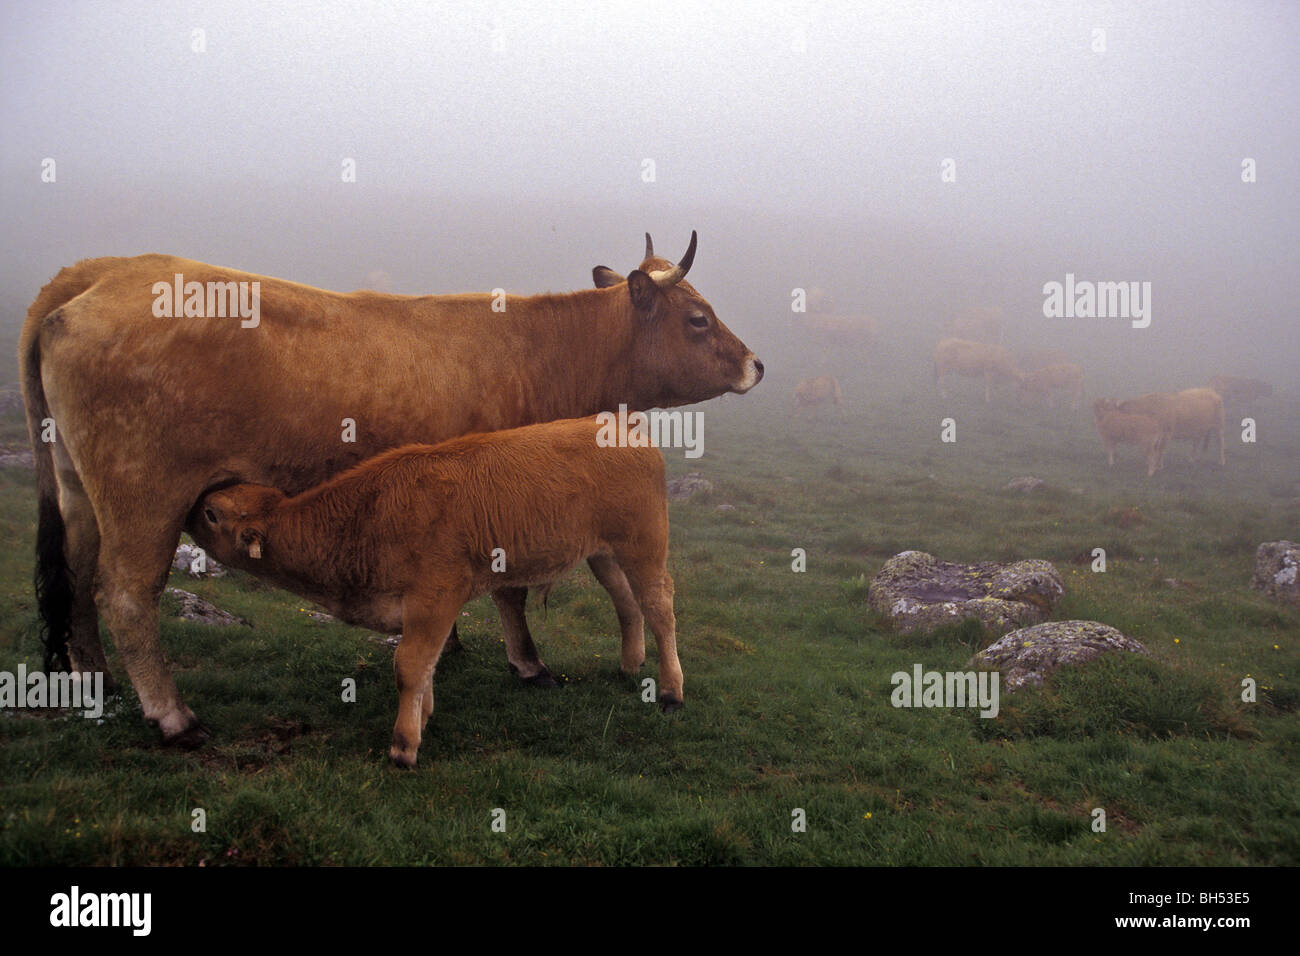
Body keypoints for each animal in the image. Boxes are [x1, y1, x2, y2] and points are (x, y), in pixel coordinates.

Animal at [189, 416, 679, 768]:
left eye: (212, 514)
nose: (190, 508)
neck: (368, 515)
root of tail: (623, 429)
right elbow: (426, 665)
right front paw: (422, 718)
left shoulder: (436, 597)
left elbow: (409, 665)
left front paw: (403, 746)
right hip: (604, 554)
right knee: (627, 603)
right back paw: (629, 664)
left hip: (644, 547)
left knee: (659, 607)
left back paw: (672, 692)